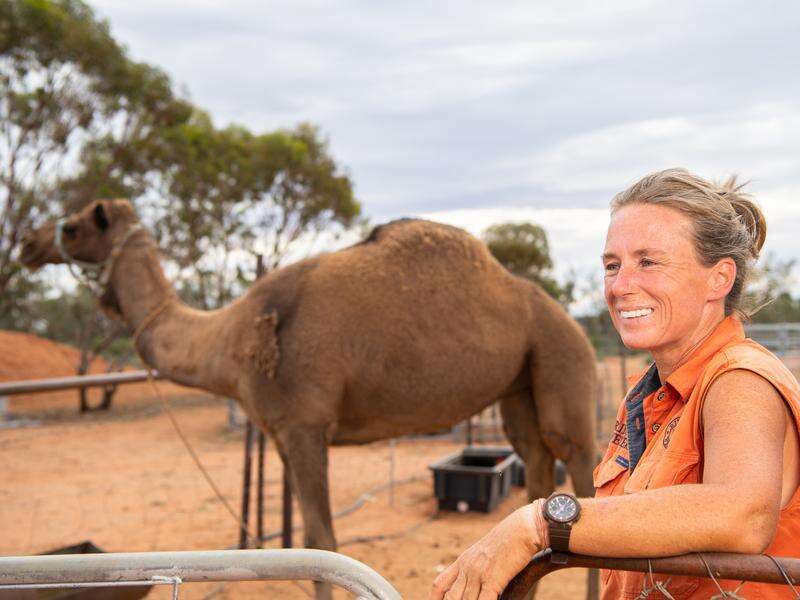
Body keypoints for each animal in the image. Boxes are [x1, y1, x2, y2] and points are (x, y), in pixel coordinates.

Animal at [19, 199, 598, 599]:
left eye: (72, 227)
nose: (27, 244)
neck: (231, 338)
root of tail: (569, 318)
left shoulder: (305, 426)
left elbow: (324, 541)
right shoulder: (280, 435)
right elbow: (308, 540)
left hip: (563, 359)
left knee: (581, 471)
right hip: (518, 385)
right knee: (536, 467)